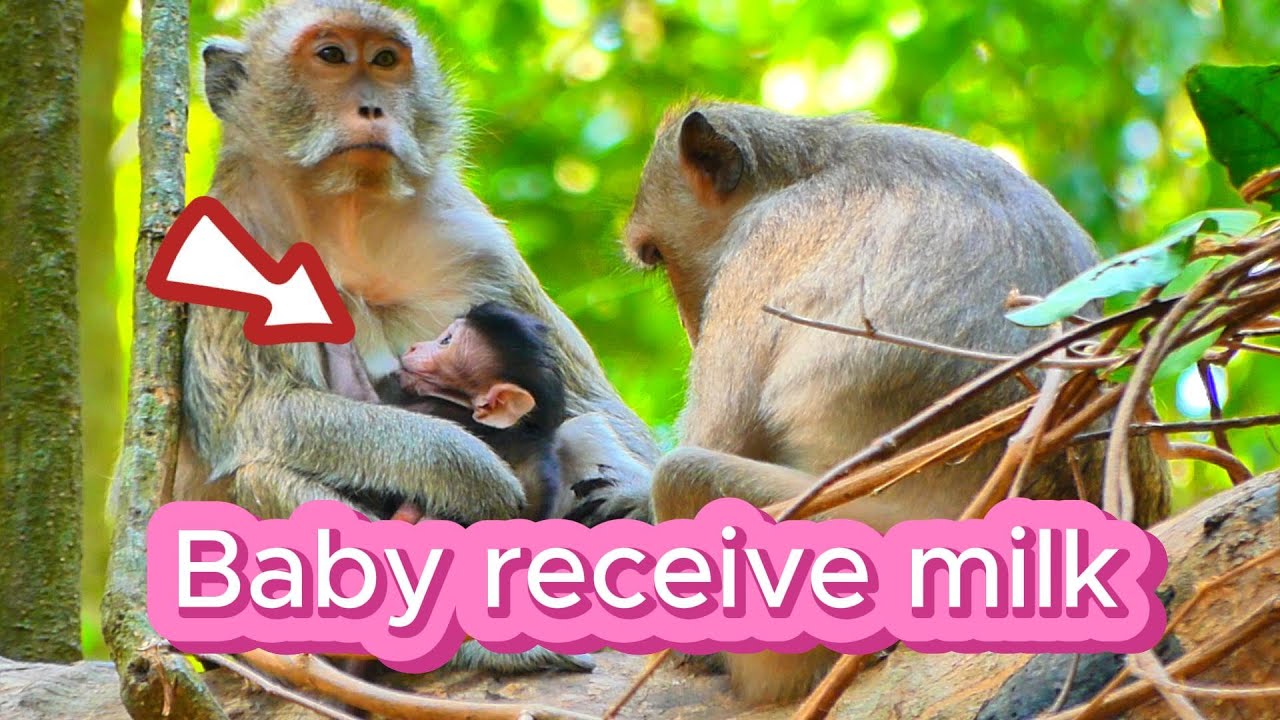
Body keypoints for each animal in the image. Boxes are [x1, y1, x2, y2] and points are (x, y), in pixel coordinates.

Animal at [623, 101, 1170, 704]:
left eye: (656, 255)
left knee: (685, 475)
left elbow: (718, 435)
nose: (689, 324)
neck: (798, 173)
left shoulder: (760, 253)